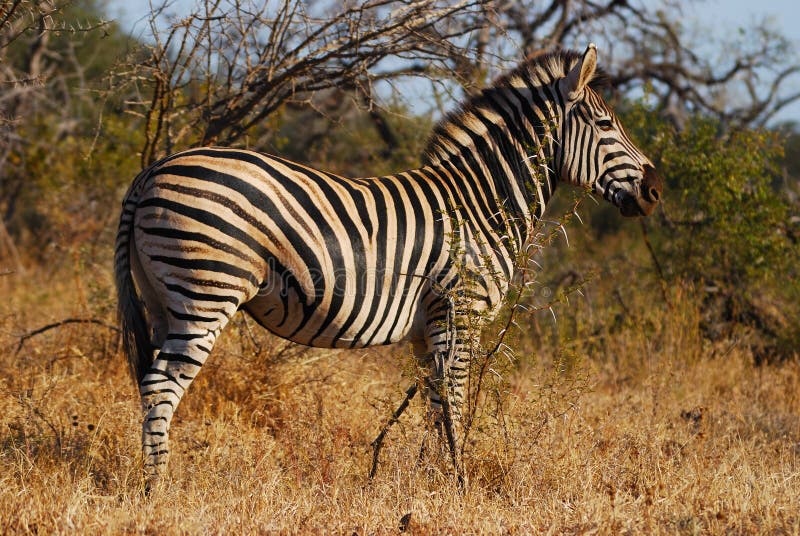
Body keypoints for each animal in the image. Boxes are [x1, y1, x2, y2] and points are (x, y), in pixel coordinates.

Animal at [115, 44, 662, 486]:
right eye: (607, 126)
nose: (655, 191)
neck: (478, 203)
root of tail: (150, 172)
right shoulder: (459, 310)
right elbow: (456, 401)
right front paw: (460, 483)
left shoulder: (428, 326)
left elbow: (436, 405)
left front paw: (433, 479)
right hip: (205, 293)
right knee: (162, 385)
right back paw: (158, 488)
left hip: (164, 299)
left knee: (149, 383)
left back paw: (153, 478)